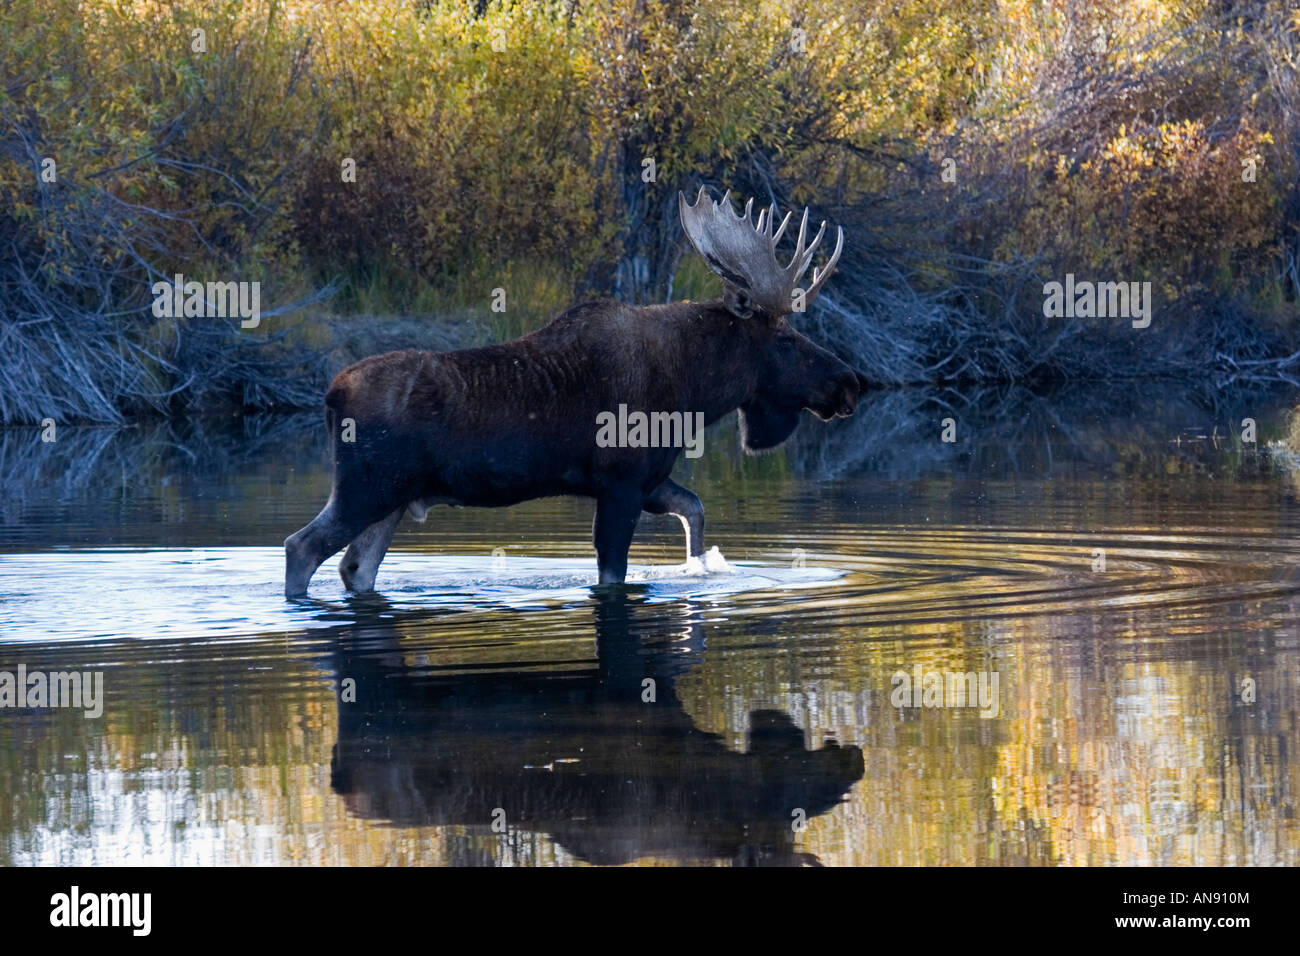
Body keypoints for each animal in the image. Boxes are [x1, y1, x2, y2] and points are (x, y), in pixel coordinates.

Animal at [284, 187, 866, 598]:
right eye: (787, 340)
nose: (850, 383)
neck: (693, 391)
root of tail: (331, 396)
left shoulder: (649, 479)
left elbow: (696, 508)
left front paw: (700, 569)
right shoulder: (620, 483)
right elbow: (613, 572)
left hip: (394, 499)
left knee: (355, 568)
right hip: (366, 488)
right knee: (301, 547)